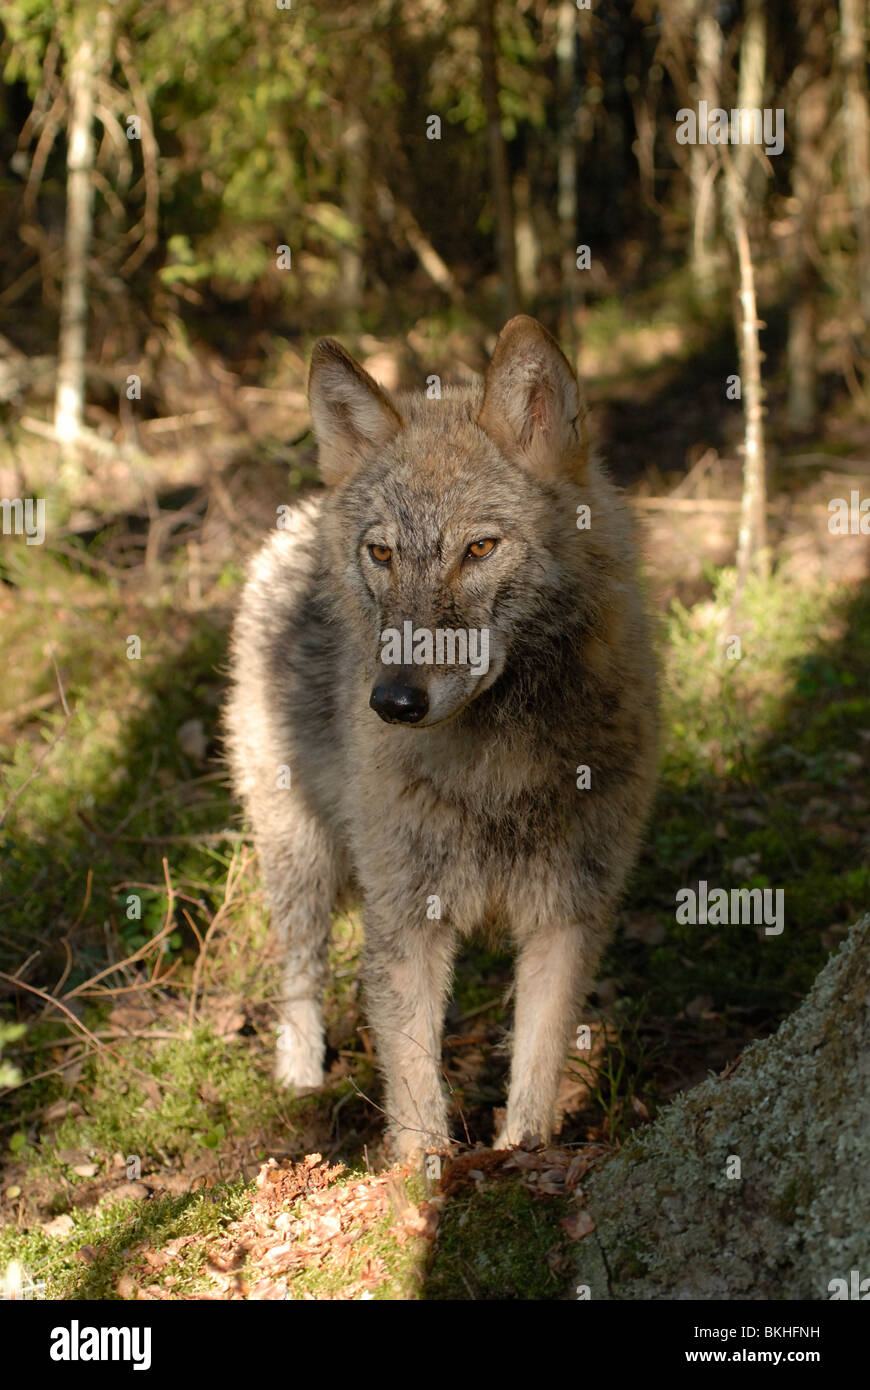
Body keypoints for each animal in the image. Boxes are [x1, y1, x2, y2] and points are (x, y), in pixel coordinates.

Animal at [225, 315, 658, 1161]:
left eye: (479, 548)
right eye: (383, 553)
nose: (392, 701)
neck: (499, 762)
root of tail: (294, 522)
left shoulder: (567, 914)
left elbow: (536, 1064)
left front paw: (520, 1157)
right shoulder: (405, 919)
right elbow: (416, 1087)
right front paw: (425, 1180)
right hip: (301, 855)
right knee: (302, 967)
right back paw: (299, 1078)